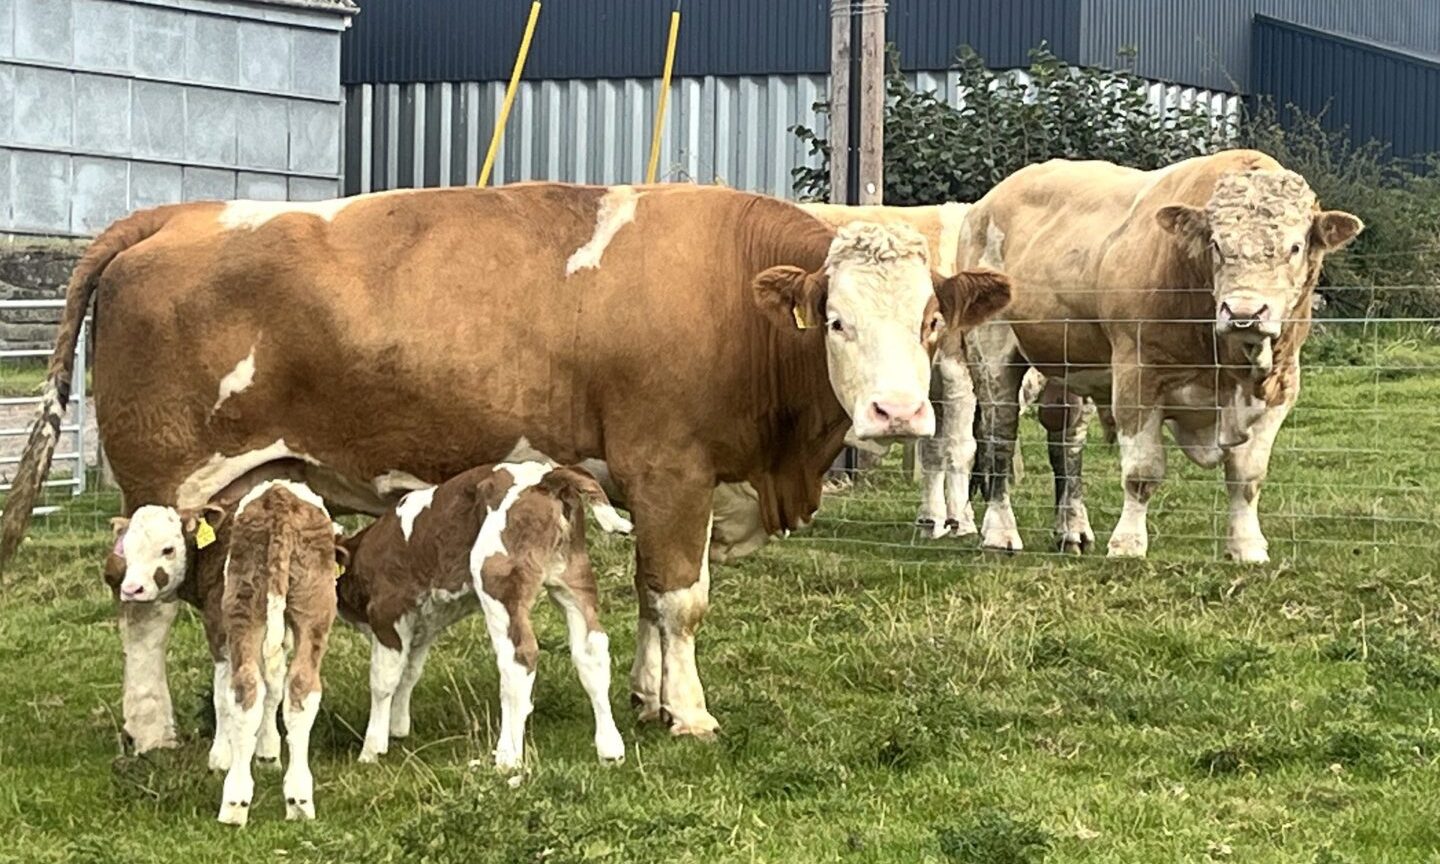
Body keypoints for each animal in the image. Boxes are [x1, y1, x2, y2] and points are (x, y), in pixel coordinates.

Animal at [337, 462, 633, 770]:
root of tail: (547, 477)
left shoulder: (389, 612)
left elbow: (382, 680)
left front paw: (372, 749)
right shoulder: (422, 625)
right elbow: (409, 673)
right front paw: (397, 728)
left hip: (498, 581)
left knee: (519, 659)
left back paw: (507, 757)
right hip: (573, 578)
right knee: (591, 651)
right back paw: (610, 748)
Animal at [961, 150, 1362, 560]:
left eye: (1294, 247)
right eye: (1216, 245)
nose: (1243, 312)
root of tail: (988, 201)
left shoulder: (1280, 386)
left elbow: (1247, 478)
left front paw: (1247, 548)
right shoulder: (1137, 376)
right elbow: (1142, 472)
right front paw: (1127, 545)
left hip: (1070, 361)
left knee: (1066, 441)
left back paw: (1072, 528)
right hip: (991, 351)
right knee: (999, 435)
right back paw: (1000, 532)